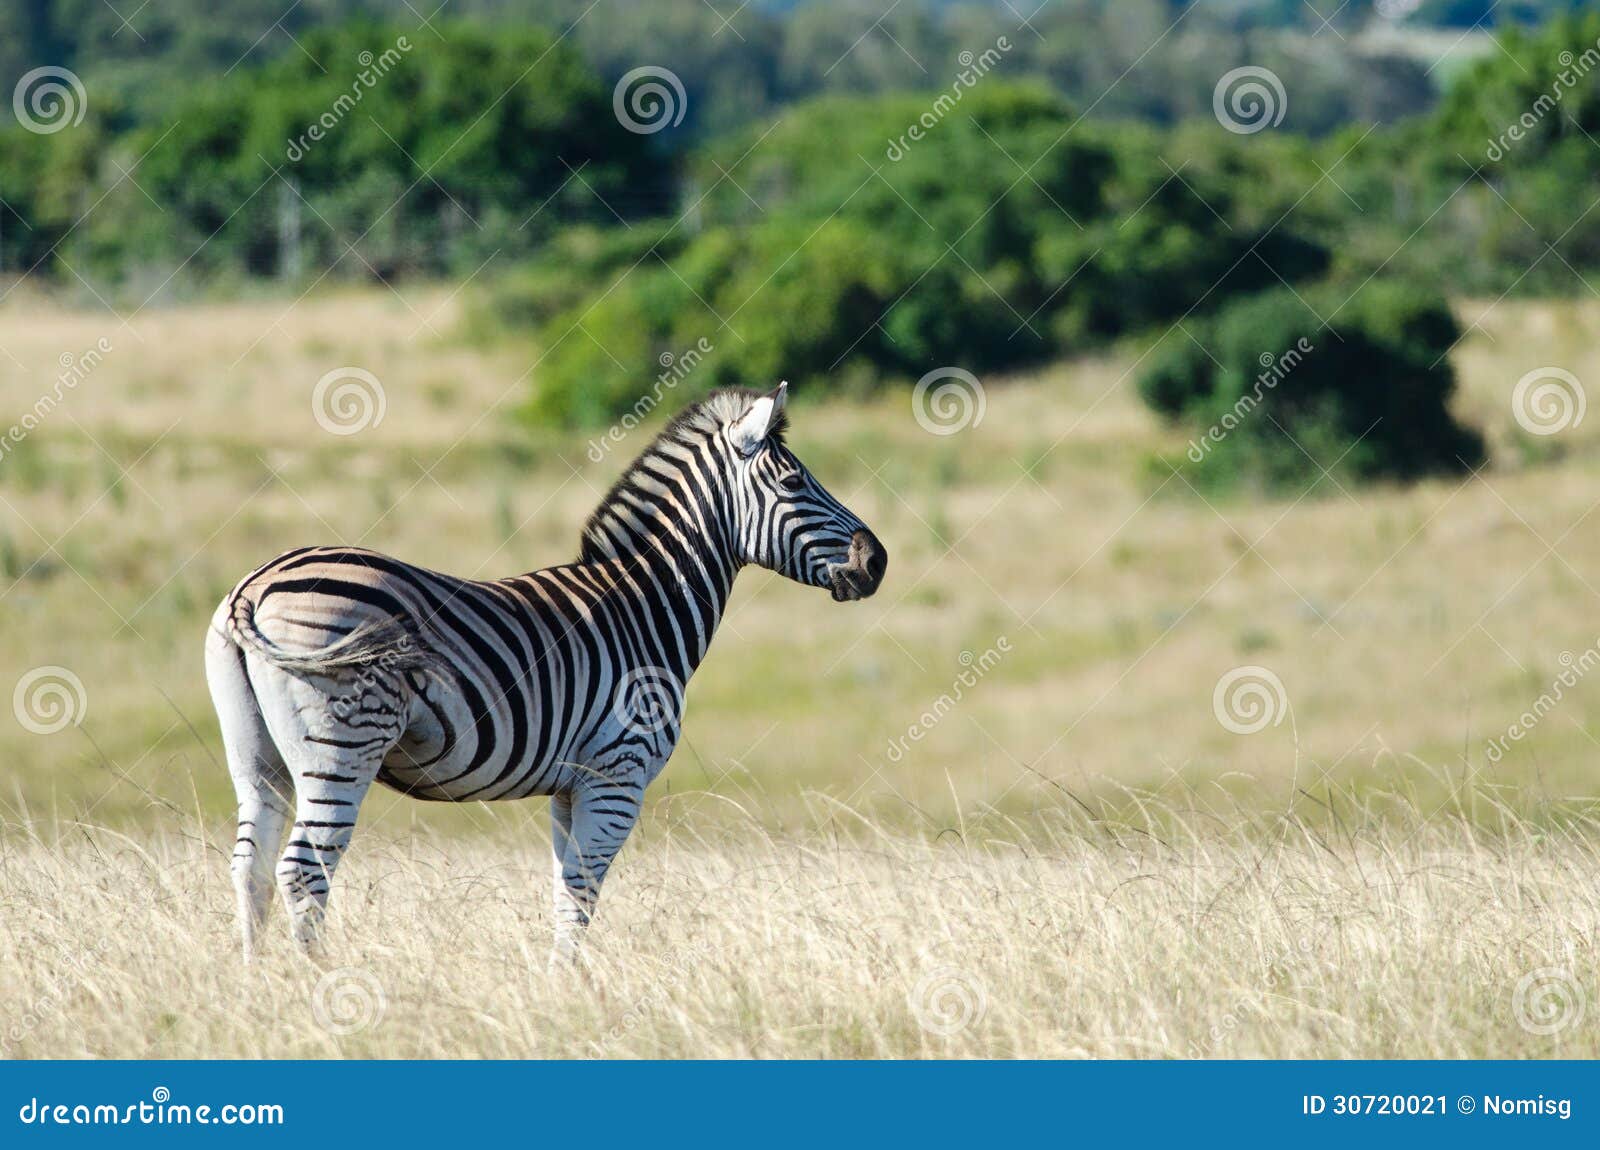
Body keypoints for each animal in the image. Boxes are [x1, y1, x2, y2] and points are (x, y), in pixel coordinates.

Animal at [204, 383, 886, 965]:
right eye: (795, 481)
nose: (877, 561)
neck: (644, 606)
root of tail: (254, 587)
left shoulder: (571, 783)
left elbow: (564, 888)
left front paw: (559, 989)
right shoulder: (619, 773)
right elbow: (582, 892)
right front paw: (572, 993)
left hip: (255, 753)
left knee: (252, 867)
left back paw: (258, 987)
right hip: (342, 745)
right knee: (302, 871)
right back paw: (316, 985)